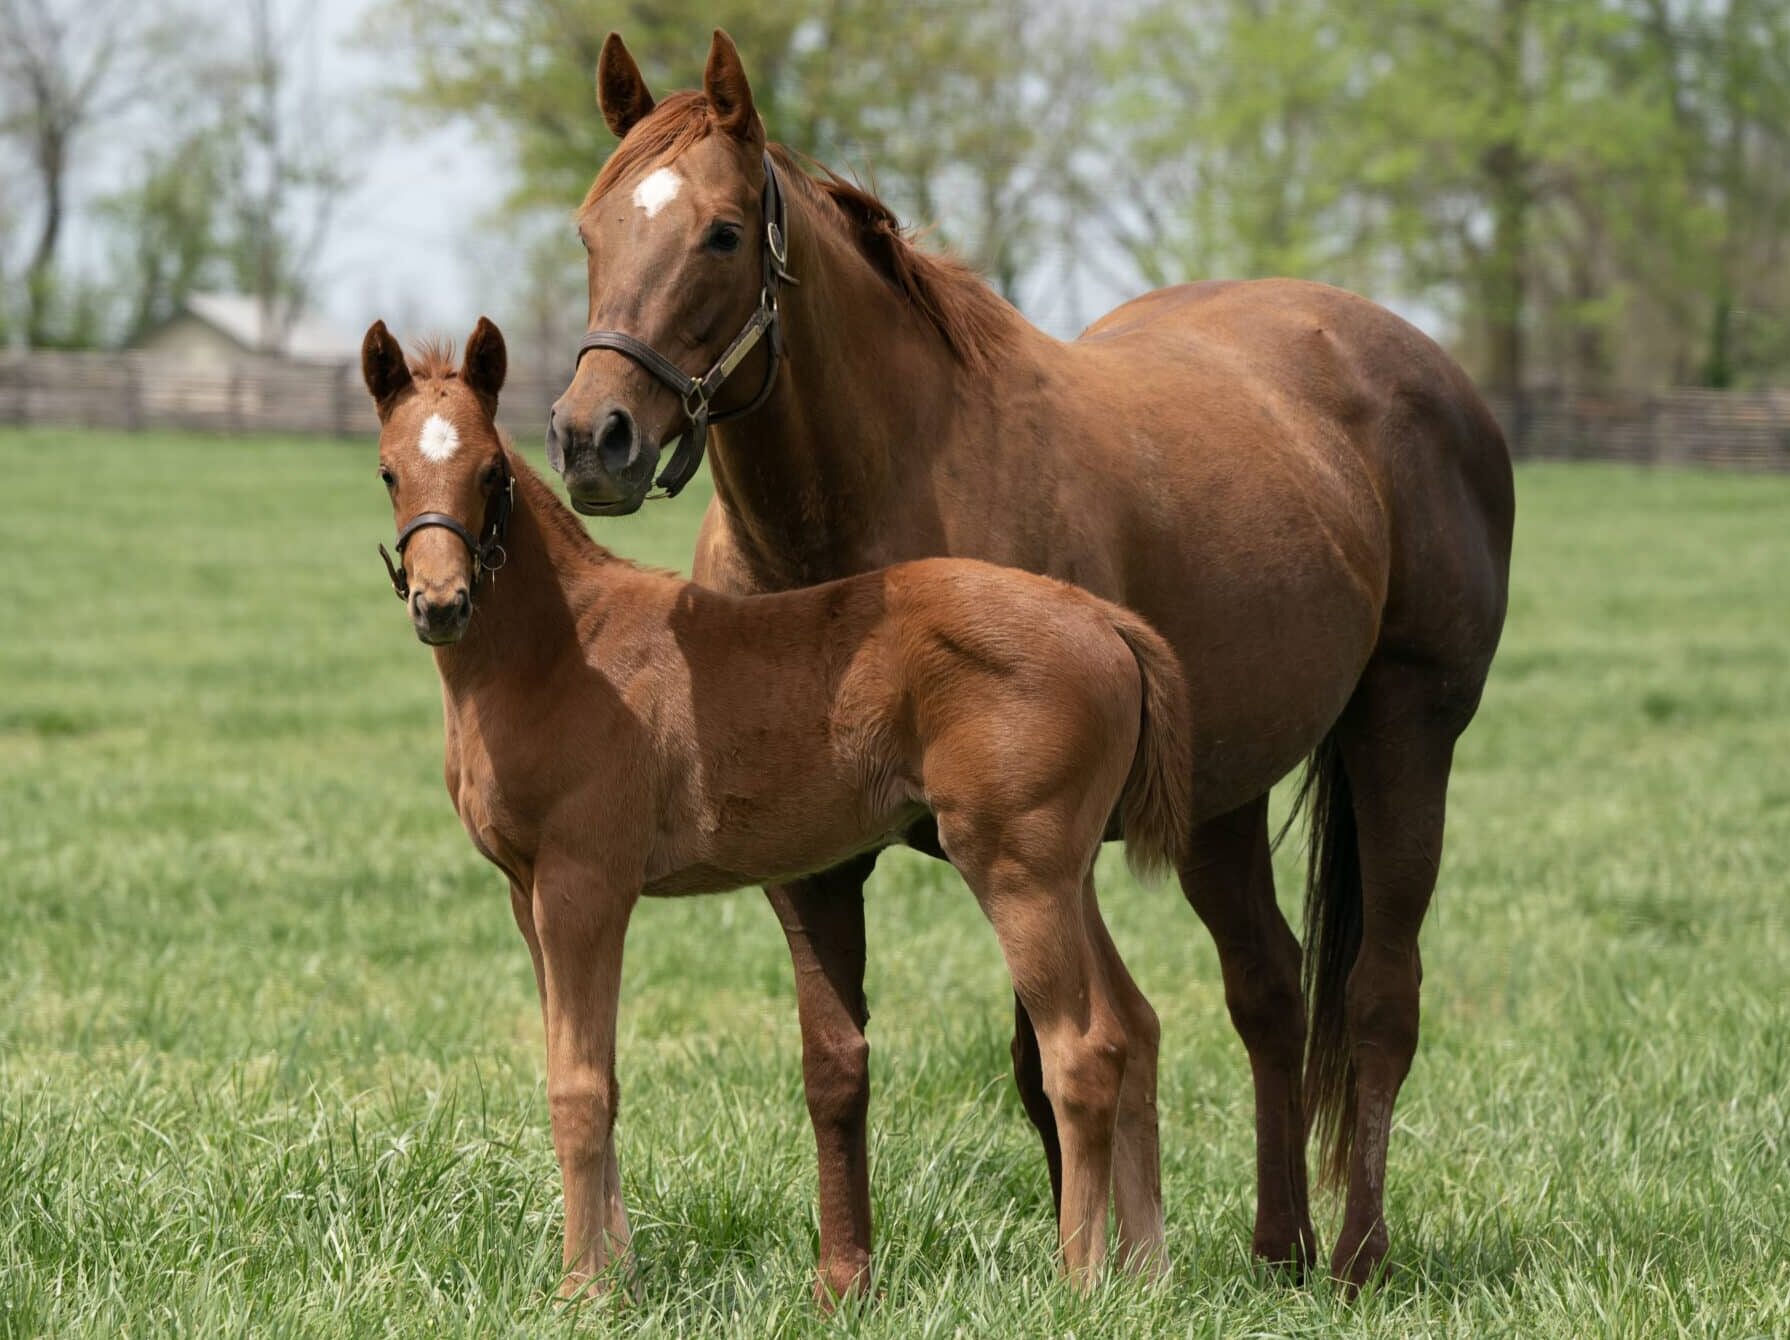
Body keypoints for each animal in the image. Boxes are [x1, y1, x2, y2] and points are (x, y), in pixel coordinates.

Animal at [361, 316, 1196, 1294]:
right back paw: (1149, 1276)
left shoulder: (584, 885)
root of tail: (1103, 620)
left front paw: (583, 1290)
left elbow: (580, 1086)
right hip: (1068, 872)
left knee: (1085, 1051)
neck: (563, 655)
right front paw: (621, 1273)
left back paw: (1083, 1284)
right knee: (1136, 1027)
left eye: (492, 472)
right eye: (388, 471)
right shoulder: (524, 892)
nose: (441, 604)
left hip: (1016, 871)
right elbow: (593, 1072)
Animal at [545, 30, 1516, 1297]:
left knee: (1375, 1000)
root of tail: (1424, 370)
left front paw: (1087, 1261)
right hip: (1220, 801)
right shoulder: (808, 866)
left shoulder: (1027, 850)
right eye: (590, 229)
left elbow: (1049, 1054)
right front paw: (846, 1277)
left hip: (1404, 738)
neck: (864, 532)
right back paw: (1278, 1247)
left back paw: (1353, 1255)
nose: (590, 437)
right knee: (1266, 990)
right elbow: (835, 1059)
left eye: (718, 232)